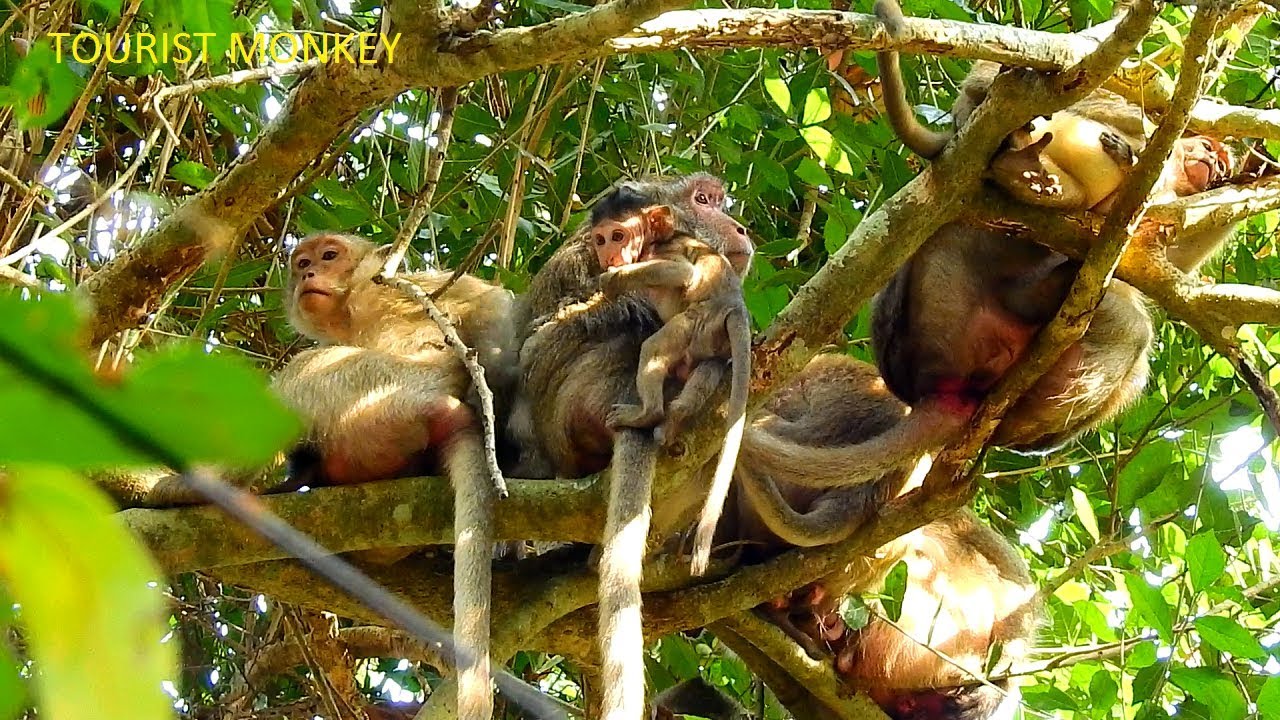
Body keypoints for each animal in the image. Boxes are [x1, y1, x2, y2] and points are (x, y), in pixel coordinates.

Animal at [274, 232, 518, 720]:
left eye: (329, 256)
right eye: (302, 263)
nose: (310, 273)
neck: (355, 306)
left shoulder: (392, 286)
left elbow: (490, 305)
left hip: (385, 396)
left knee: (309, 367)